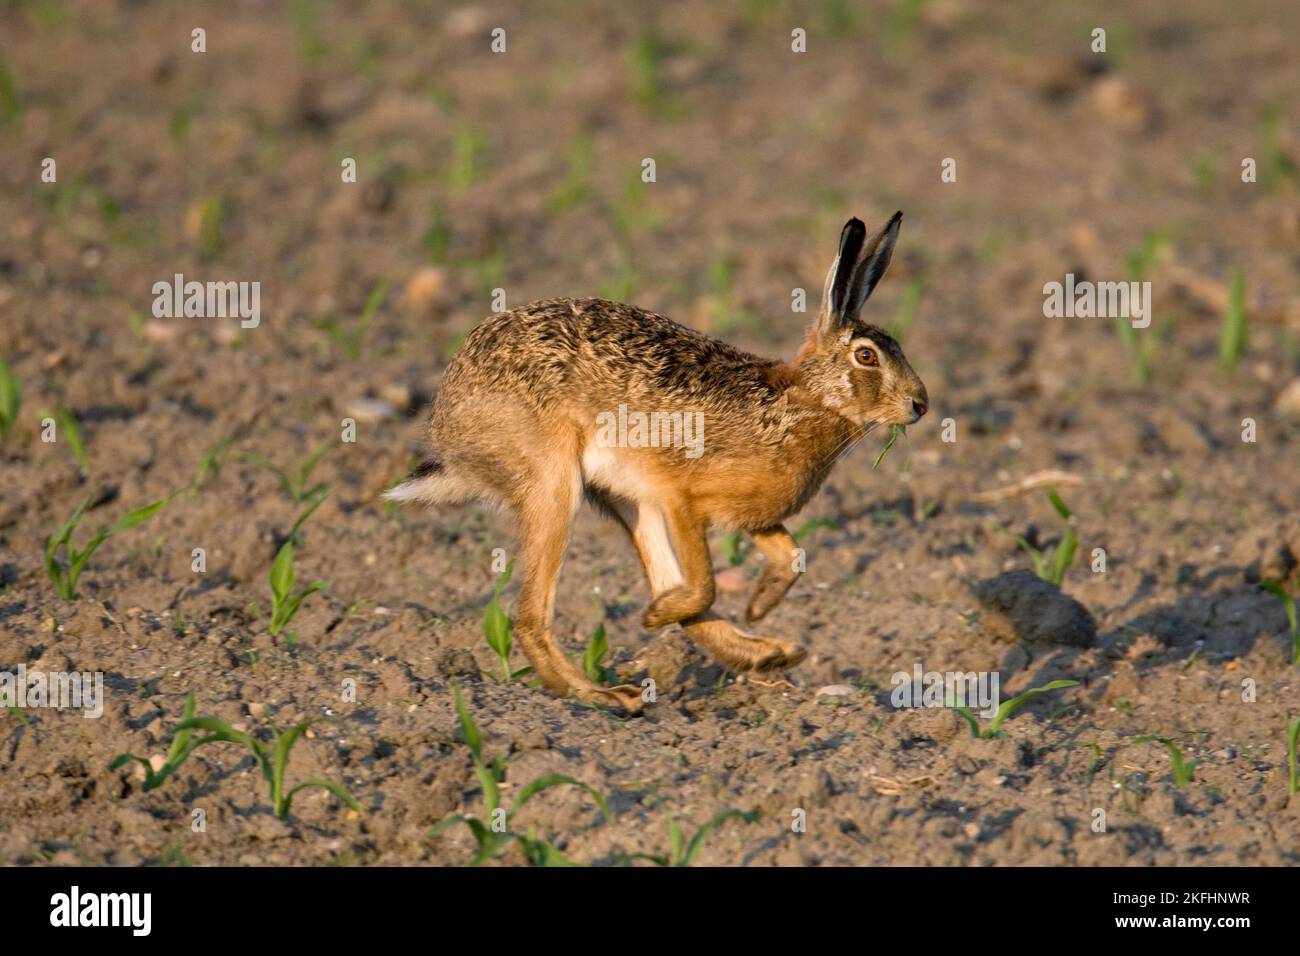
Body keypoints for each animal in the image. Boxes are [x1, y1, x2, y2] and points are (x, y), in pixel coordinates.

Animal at [386, 213, 928, 713]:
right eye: (866, 356)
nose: (920, 405)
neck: (803, 399)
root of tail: (448, 429)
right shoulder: (683, 499)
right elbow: (706, 585)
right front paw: (653, 619)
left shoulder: (749, 515)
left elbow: (792, 555)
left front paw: (757, 607)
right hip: (555, 485)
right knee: (532, 618)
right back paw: (606, 693)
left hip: (626, 498)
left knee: (662, 581)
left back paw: (768, 653)